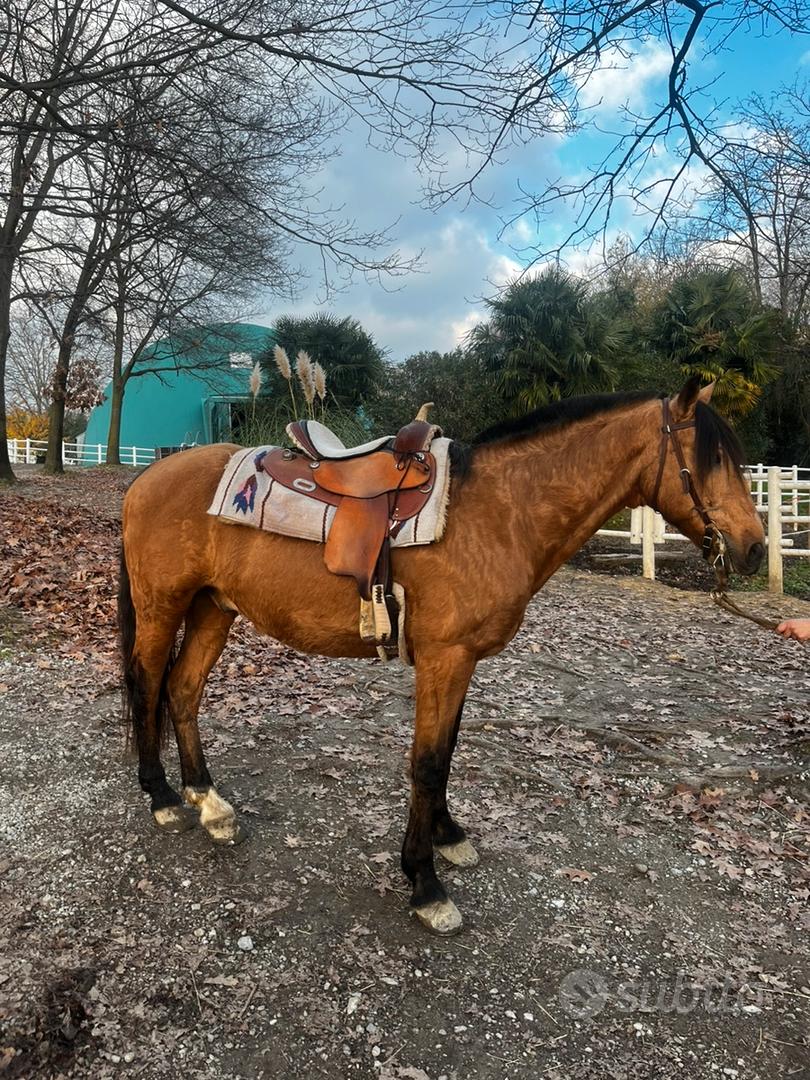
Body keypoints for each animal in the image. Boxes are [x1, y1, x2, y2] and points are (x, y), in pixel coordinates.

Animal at [119, 377, 765, 935]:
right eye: (710, 460)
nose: (756, 549)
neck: (500, 511)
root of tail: (148, 477)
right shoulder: (444, 658)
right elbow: (427, 762)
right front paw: (425, 883)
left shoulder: (462, 662)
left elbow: (447, 752)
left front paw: (447, 836)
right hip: (162, 608)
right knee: (149, 684)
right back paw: (163, 798)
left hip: (214, 609)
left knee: (183, 689)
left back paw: (209, 802)